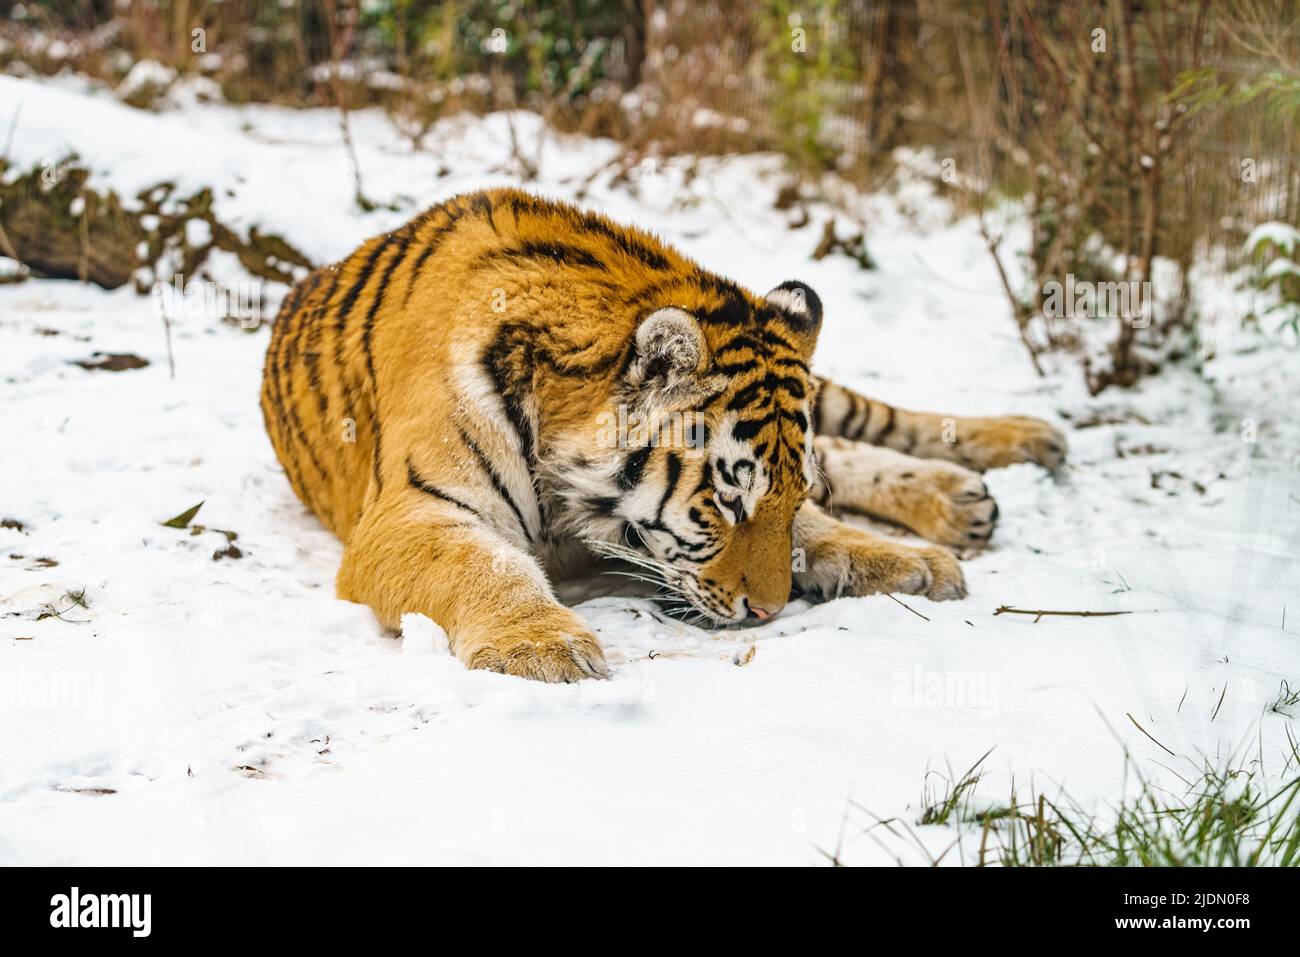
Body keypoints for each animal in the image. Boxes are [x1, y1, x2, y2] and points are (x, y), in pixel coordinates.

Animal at [260, 188, 1066, 682]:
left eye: (785, 496)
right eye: (726, 503)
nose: (769, 612)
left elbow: (820, 520)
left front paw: (907, 561)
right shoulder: (410, 512)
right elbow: (481, 566)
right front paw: (543, 646)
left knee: (873, 423)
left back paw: (1015, 449)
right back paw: (967, 497)